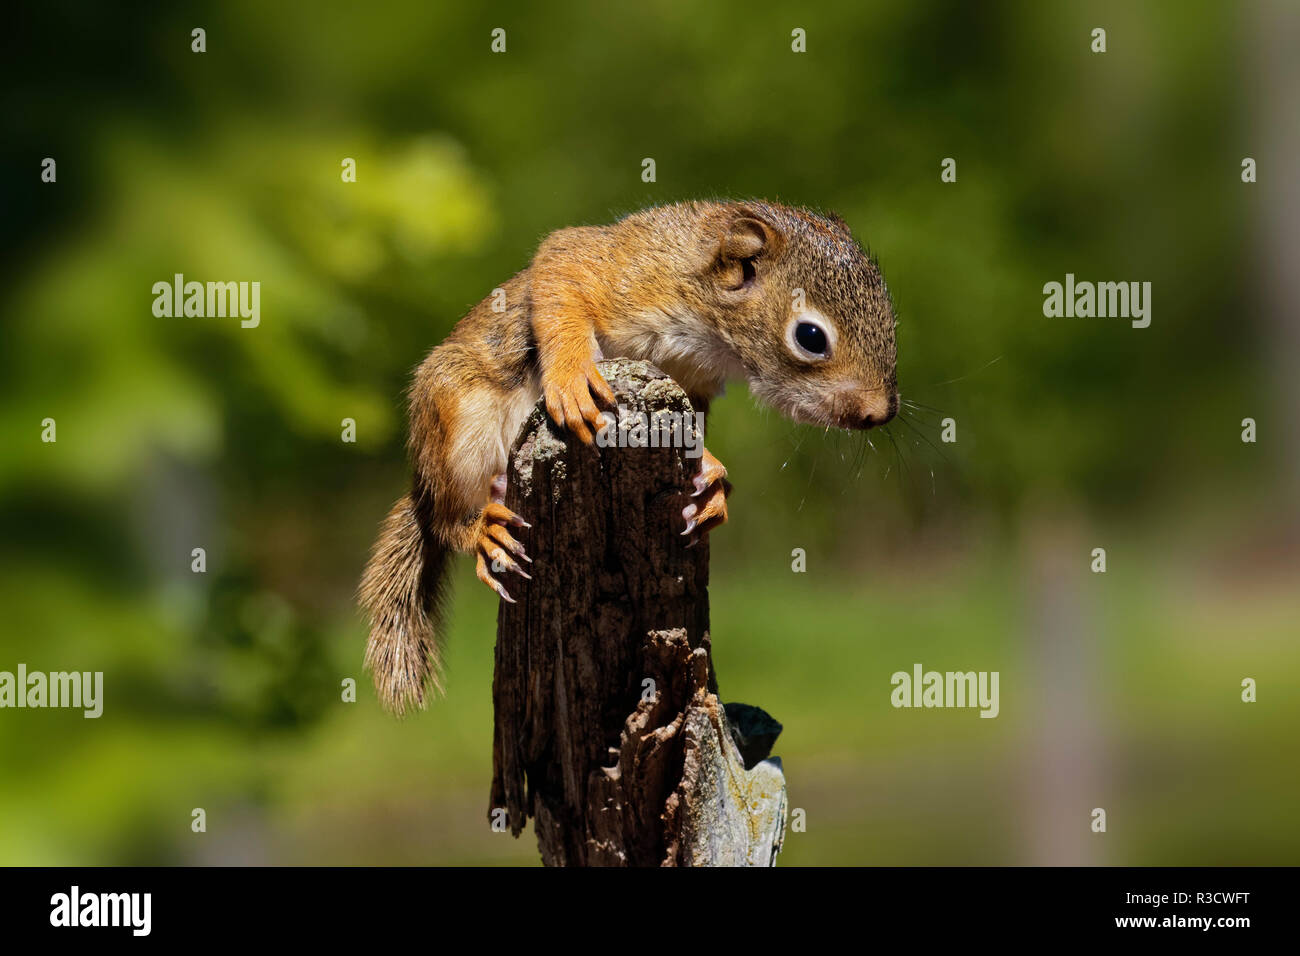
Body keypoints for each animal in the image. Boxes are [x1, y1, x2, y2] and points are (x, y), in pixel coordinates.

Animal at [359, 200, 899, 715]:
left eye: (891, 319)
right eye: (811, 337)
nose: (881, 413)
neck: (710, 322)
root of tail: (422, 484)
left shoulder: (692, 383)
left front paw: (712, 479)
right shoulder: (623, 269)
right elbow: (562, 273)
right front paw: (573, 377)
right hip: (457, 421)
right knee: (447, 519)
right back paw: (481, 526)